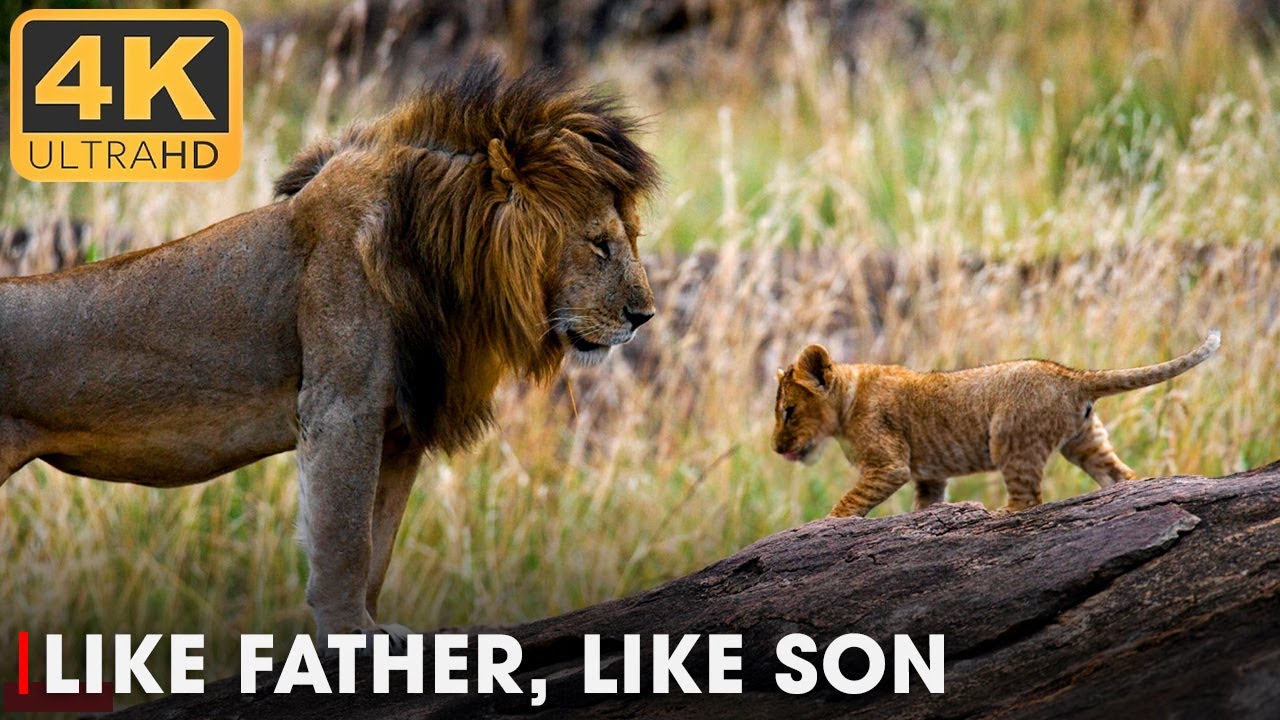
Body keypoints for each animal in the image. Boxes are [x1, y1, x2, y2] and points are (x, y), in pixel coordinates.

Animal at [0, 64, 660, 645]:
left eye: (628, 239)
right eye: (599, 245)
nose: (644, 316)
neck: (442, 266)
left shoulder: (399, 429)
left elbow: (379, 540)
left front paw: (374, 629)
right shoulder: (341, 405)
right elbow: (345, 536)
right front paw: (349, 637)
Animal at [772, 332, 1220, 517]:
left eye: (789, 411)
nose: (776, 449)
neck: (848, 399)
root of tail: (1070, 375)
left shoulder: (889, 465)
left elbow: (849, 502)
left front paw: (825, 524)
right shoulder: (928, 476)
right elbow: (926, 503)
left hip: (1010, 438)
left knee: (1029, 500)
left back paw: (998, 516)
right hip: (1085, 439)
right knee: (1120, 474)